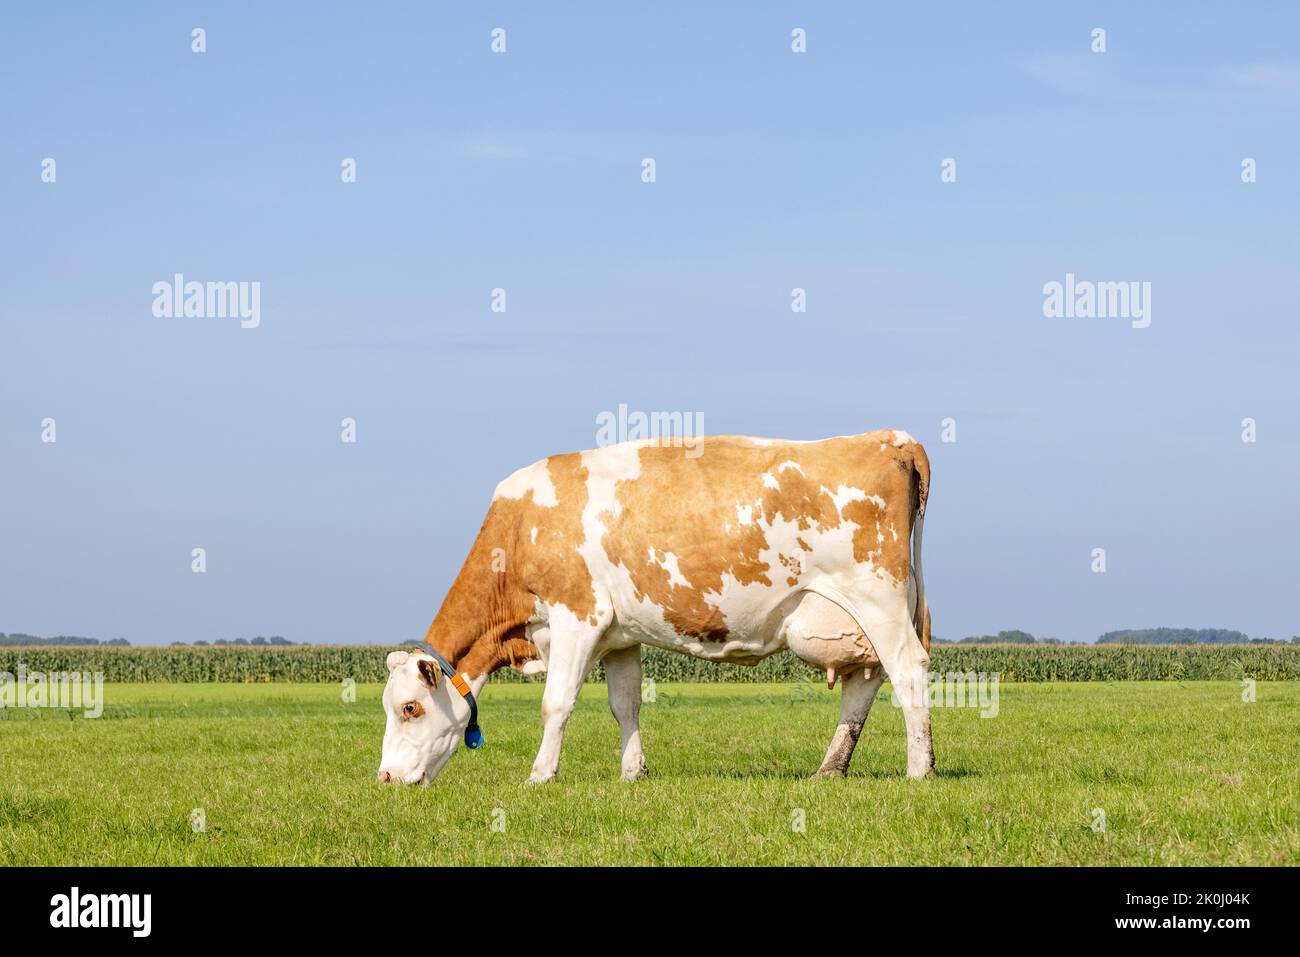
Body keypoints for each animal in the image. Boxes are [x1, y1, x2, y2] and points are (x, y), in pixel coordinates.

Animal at [378, 429, 934, 785]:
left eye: (410, 708)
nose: (384, 777)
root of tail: (889, 436)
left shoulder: (577, 616)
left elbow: (556, 703)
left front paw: (539, 776)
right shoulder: (618, 636)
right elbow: (624, 705)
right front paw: (632, 773)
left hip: (877, 598)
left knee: (908, 671)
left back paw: (919, 769)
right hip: (859, 619)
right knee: (865, 684)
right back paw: (830, 770)